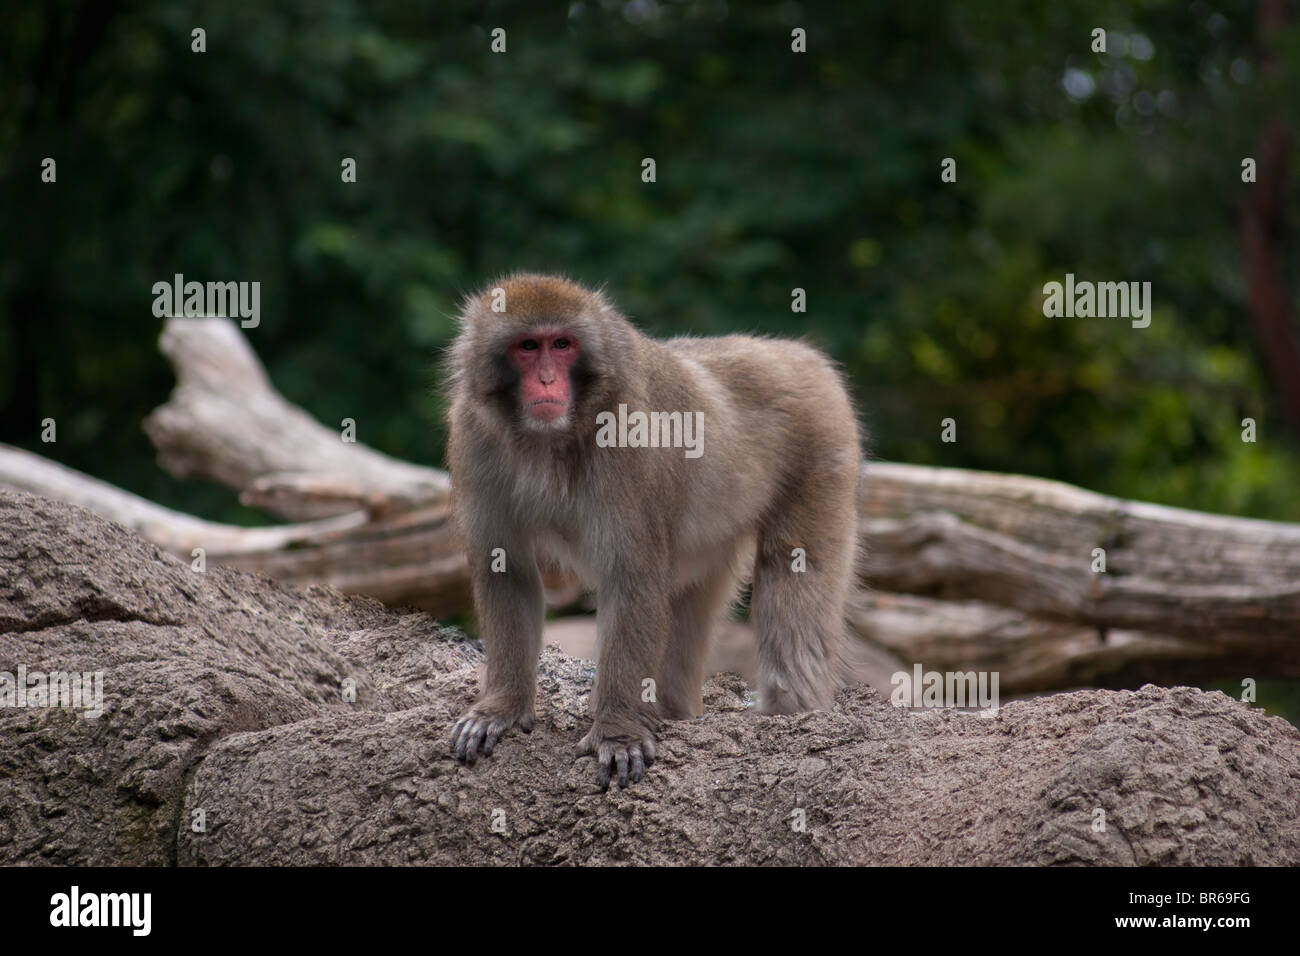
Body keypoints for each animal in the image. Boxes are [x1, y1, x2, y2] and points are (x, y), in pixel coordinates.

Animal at [446, 274, 861, 789]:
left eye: (561, 345)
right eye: (528, 347)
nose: (545, 380)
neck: (551, 439)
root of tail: (797, 354)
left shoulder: (630, 432)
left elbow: (632, 577)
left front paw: (618, 730)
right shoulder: (471, 434)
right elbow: (506, 568)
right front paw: (501, 706)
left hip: (824, 454)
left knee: (796, 580)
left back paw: (793, 715)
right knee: (689, 604)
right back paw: (673, 711)